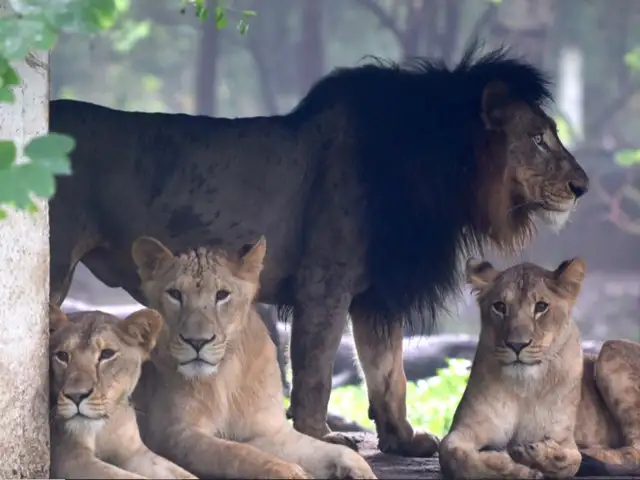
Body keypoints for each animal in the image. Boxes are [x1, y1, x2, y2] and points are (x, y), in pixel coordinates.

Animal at [48, 305, 198, 479]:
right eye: (62, 355)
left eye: (107, 354)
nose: (76, 395)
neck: (105, 426)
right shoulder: (69, 459)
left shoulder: (135, 452)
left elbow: (180, 473)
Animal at [128, 235, 377, 479]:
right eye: (175, 294)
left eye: (222, 295)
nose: (197, 342)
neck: (224, 375)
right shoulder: (172, 432)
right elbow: (237, 453)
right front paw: (291, 472)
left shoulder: (269, 431)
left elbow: (332, 450)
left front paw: (360, 470)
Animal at [438, 258, 640, 479]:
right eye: (500, 306)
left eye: (541, 307)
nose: (516, 345)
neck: (523, 388)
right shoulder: (463, 430)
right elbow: (453, 455)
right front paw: (510, 466)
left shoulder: (564, 439)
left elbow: (572, 461)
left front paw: (535, 454)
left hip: (611, 348)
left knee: (633, 450)